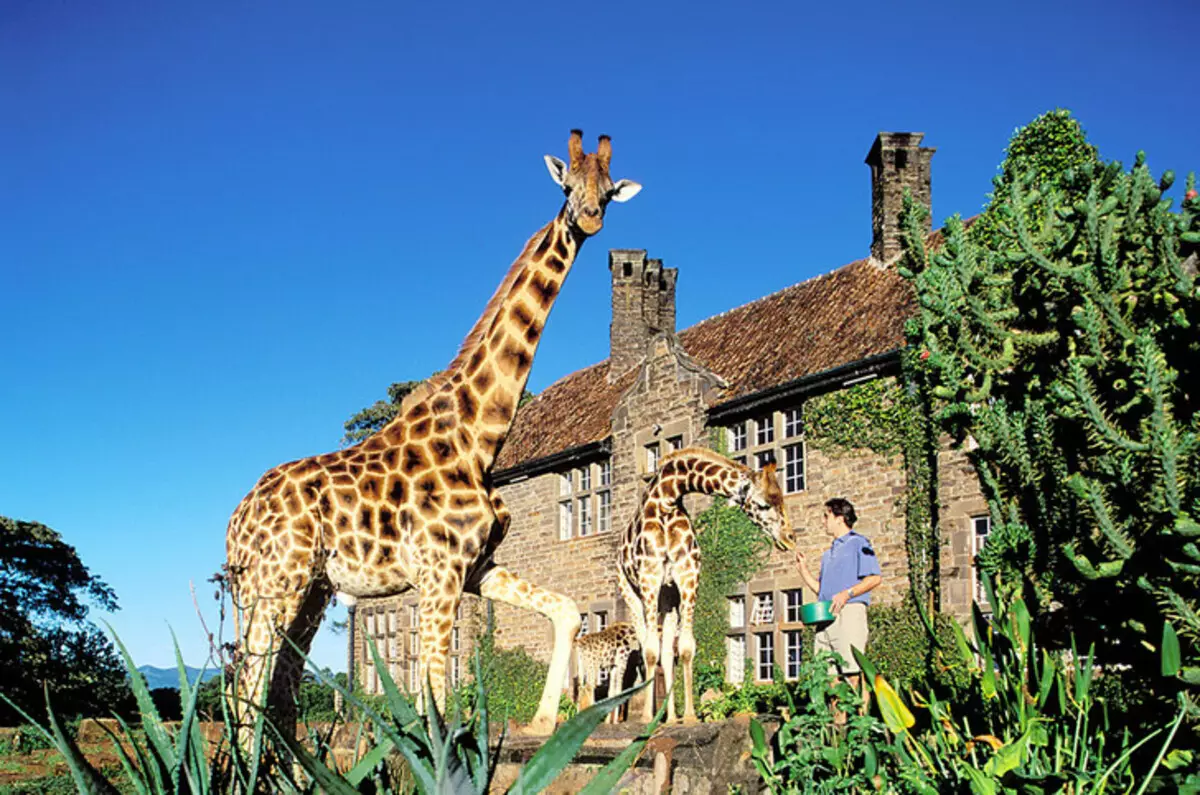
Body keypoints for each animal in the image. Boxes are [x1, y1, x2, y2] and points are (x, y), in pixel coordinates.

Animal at [222, 130, 643, 739]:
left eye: (609, 189)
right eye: (567, 185)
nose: (589, 218)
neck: (479, 432)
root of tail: (235, 522)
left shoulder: (474, 567)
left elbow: (564, 610)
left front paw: (543, 720)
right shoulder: (438, 572)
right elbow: (437, 697)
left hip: (307, 590)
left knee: (276, 691)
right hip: (275, 581)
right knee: (247, 691)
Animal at [614, 449, 792, 730]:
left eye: (782, 497)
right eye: (763, 504)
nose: (789, 538)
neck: (667, 499)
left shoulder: (687, 575)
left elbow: (686, 647)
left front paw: (688, 716)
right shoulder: (649, 577)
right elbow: (651, 650)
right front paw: (647, 718)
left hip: (668, 599)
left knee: (668, 652)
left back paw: (670, 717)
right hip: (632, 592)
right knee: (646, 645)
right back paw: (651, 714)